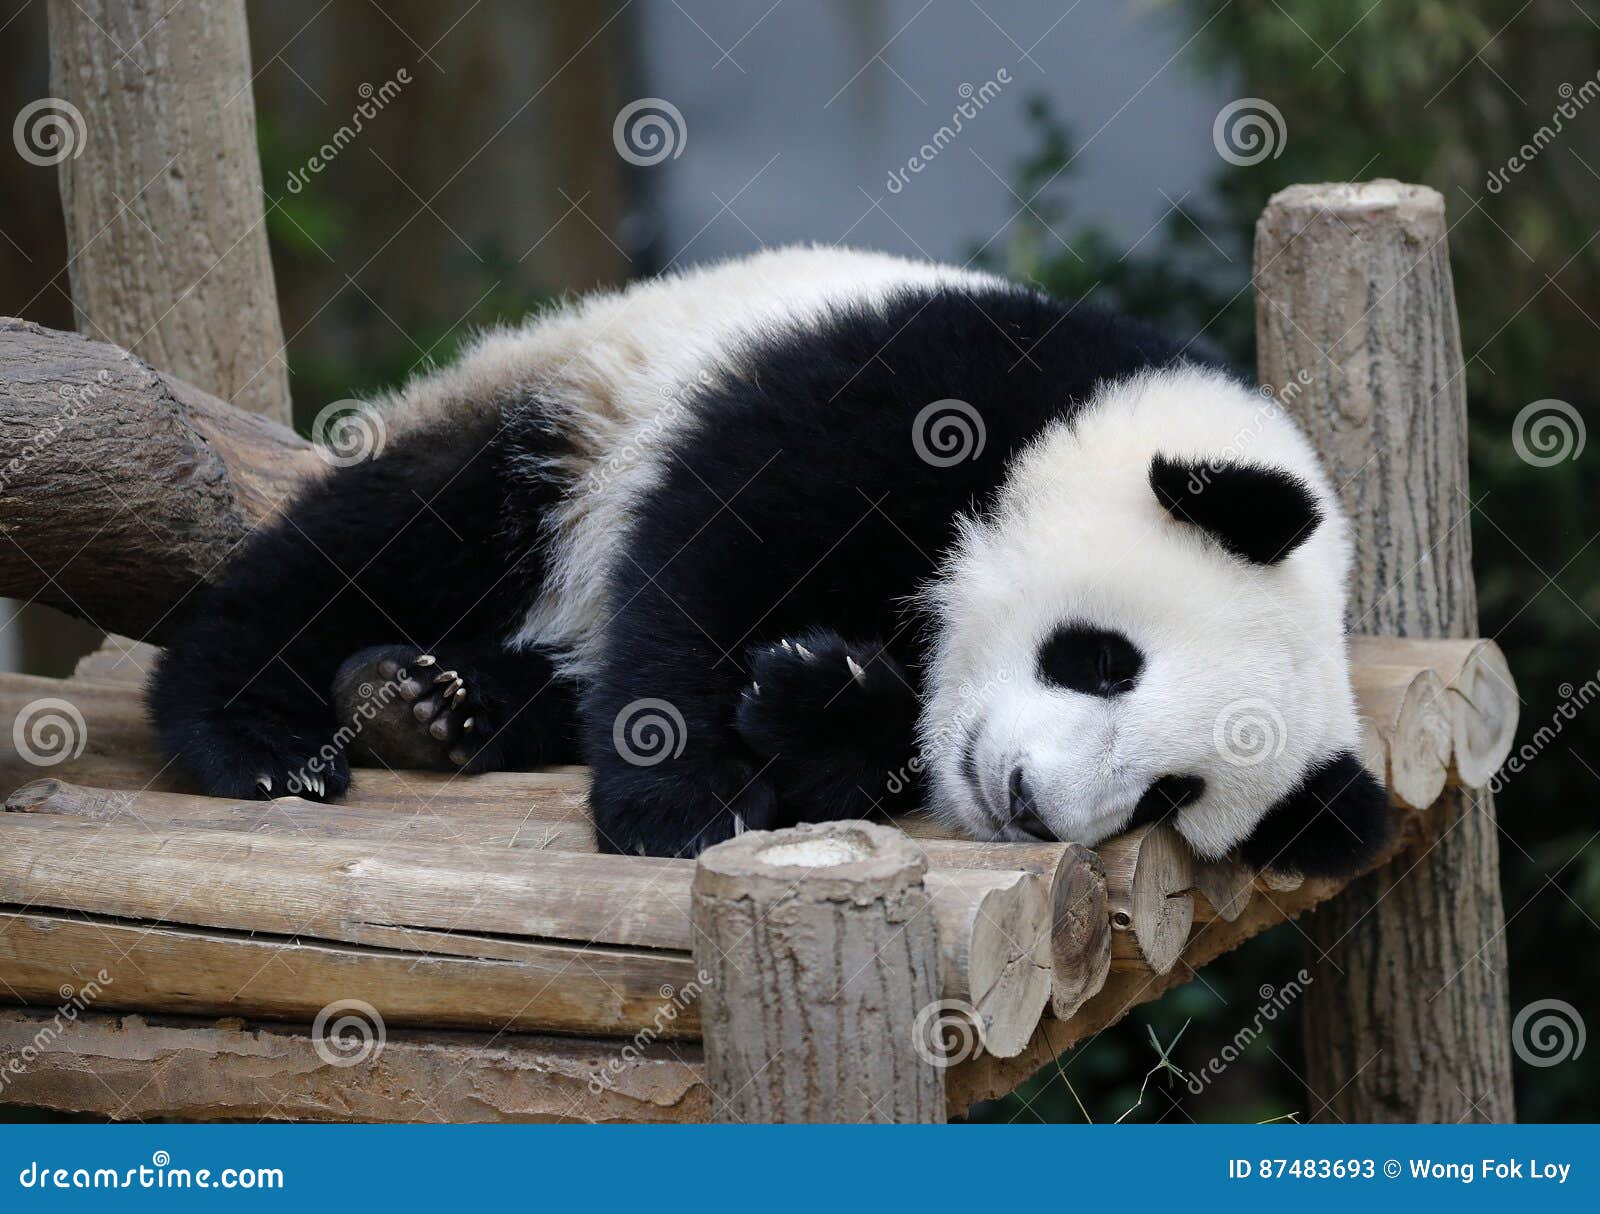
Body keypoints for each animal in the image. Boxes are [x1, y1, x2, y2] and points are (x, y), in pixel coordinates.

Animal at [149, 245, 1389, 872]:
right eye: (1100, 659)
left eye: (1170, 796)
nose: (1028, 803)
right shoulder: (931, 387)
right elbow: (718, 543)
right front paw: (682, 801)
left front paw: (818, 698)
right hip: (575, 406)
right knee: (403, 530)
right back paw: (260, 732)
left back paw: (435, 700)